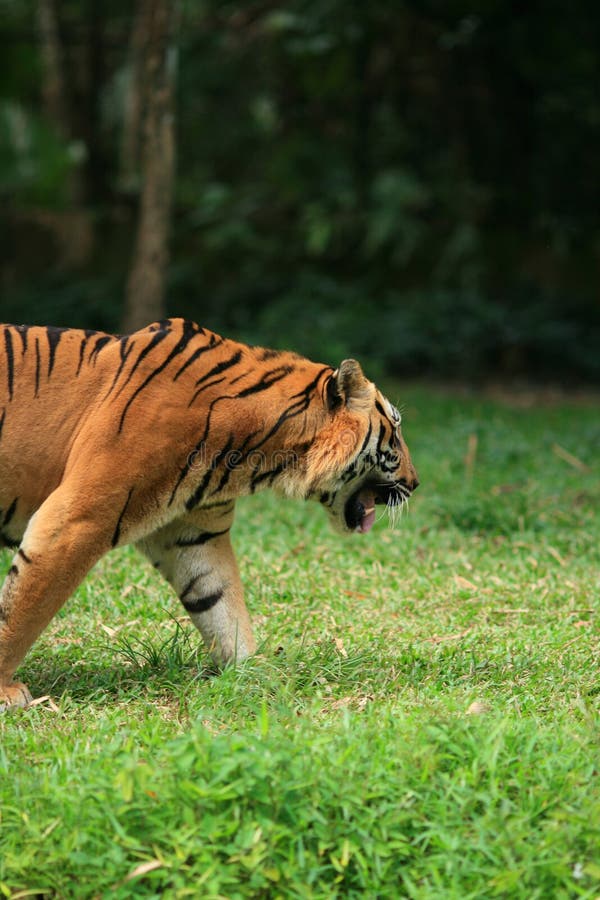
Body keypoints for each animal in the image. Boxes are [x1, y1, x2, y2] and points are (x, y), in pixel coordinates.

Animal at [0, 317, 418, 709]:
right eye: (395, 432)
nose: (415, 484)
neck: (256, 455)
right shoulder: (77, 519)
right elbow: (22, 609)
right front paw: (6, 691)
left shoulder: (194, 533)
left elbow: (221, 604)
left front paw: (254, 674)